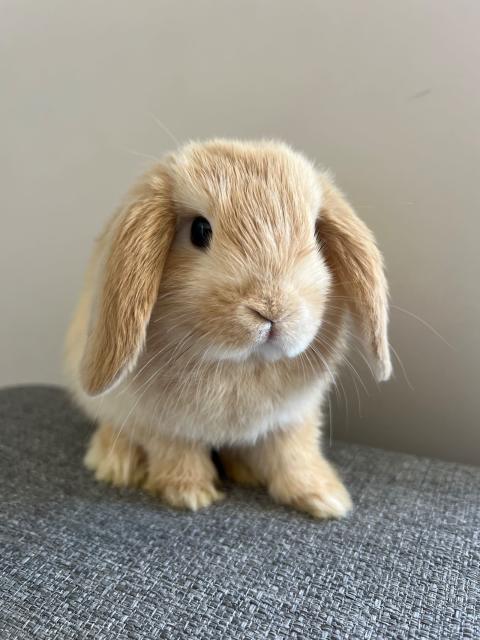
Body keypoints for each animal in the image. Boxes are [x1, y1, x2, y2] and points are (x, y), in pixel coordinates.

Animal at [65, 139, 391, 518]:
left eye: (314, 233)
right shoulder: (164, 423)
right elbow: (176, 452)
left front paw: (324, 498)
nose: (272, 310)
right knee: (116, 428)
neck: (241, 364)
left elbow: (295, 455)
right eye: (199, 230)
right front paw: (188, 492)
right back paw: (115, 463)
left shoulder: (291, 419)